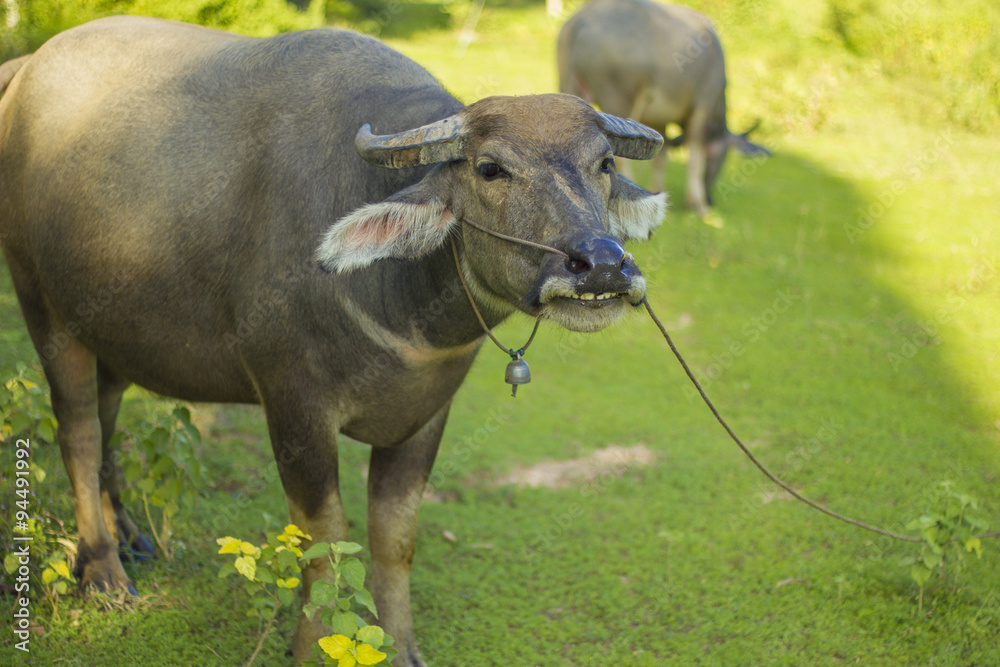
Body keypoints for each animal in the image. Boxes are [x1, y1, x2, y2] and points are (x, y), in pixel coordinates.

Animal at [0, 16, 666, 666]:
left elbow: (394, 538)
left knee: (108, 416)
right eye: (491, 168)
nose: (602, 265)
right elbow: (322, 536)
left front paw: (402, 647)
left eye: (605, 164)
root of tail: (25, 70)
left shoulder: (428, 416)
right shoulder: (294, 406)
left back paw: (129, 536)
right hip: (43, 307)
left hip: (110, 327)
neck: (401, 311)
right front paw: (307, 645)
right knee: (79, 431)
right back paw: (103, 573)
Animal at [557, 0, 768, 217]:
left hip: (569, 88)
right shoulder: (704, 104)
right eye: (721, 157)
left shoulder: (658, 121)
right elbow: (696, 155)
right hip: (620, 100)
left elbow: (661, 158)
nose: (710, 200)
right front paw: (698, 204)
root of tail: (584, 18)